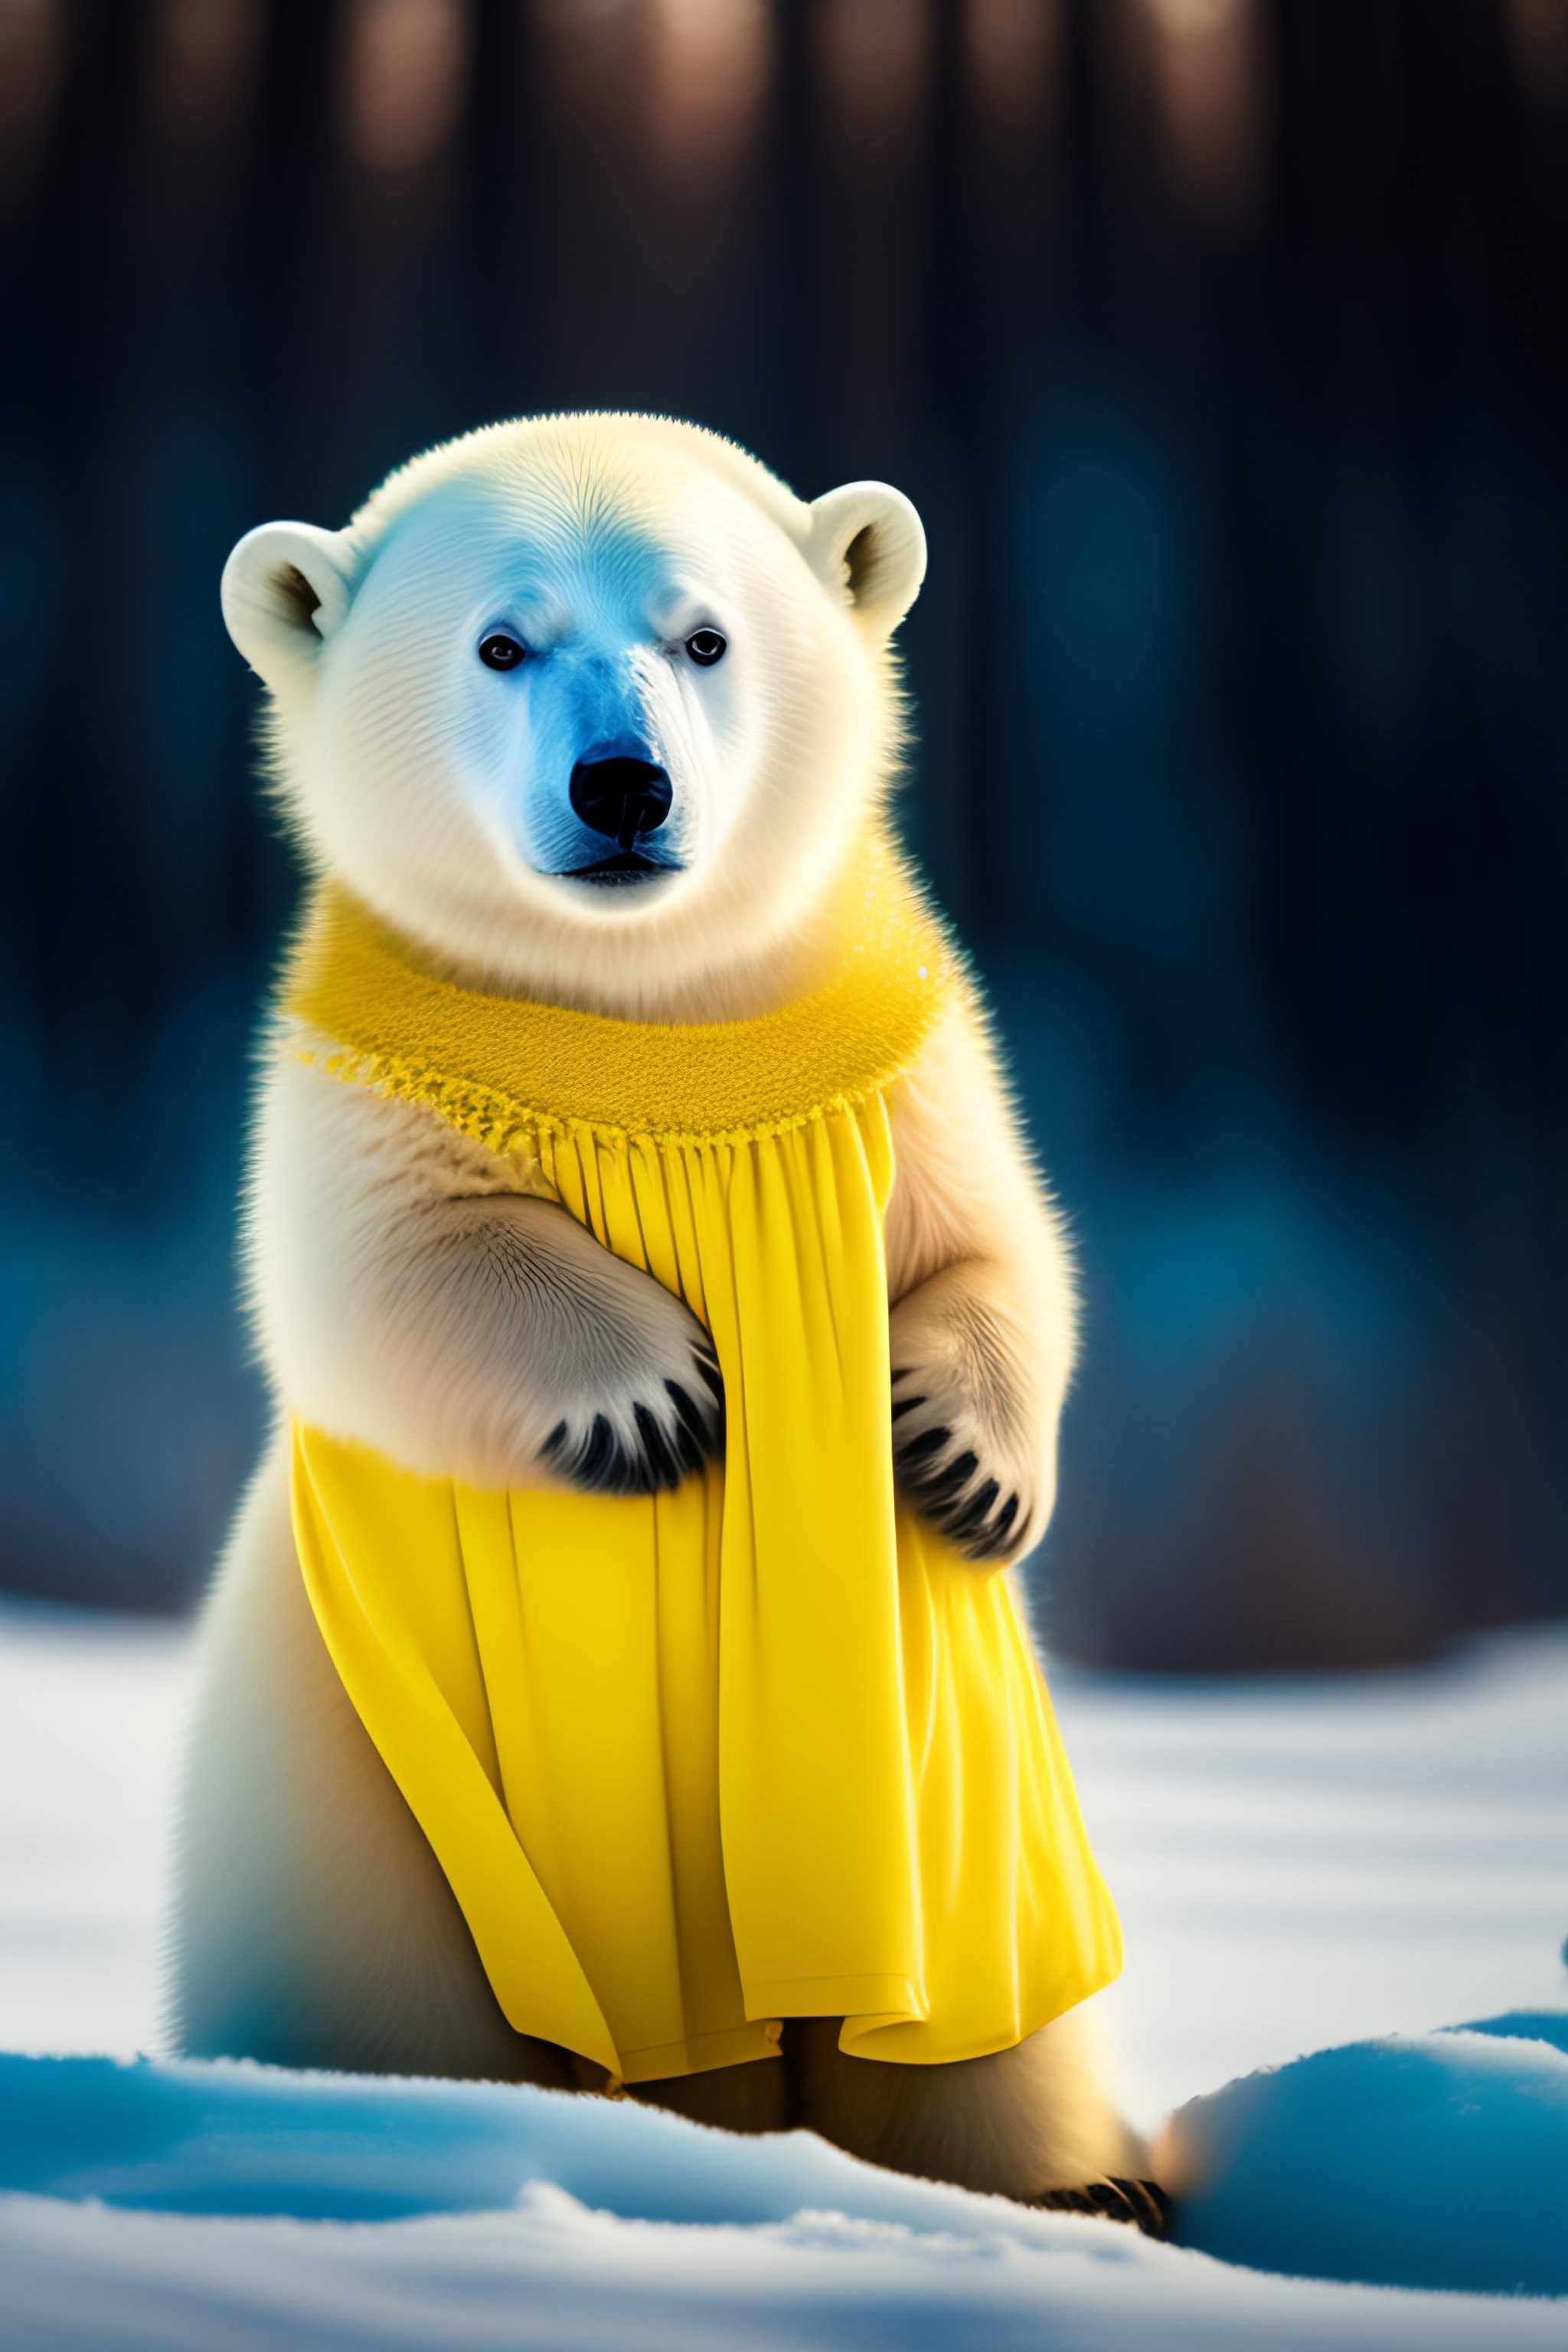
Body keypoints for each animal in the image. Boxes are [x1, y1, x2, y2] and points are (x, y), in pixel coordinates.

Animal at [169, 412, 1154, 2222]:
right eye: (502, 642)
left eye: (704, 635)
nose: (622, 785)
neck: (638, 1016)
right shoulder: (353, 1072)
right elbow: (372, 1271)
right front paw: (655, 1398)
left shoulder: (902, 1058)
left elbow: (998, 1242)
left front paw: (961, 1456)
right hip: (370, 1822)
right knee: (400, 1999)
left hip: (952, 1819)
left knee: (987, 2021)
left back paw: (1080, 2189)